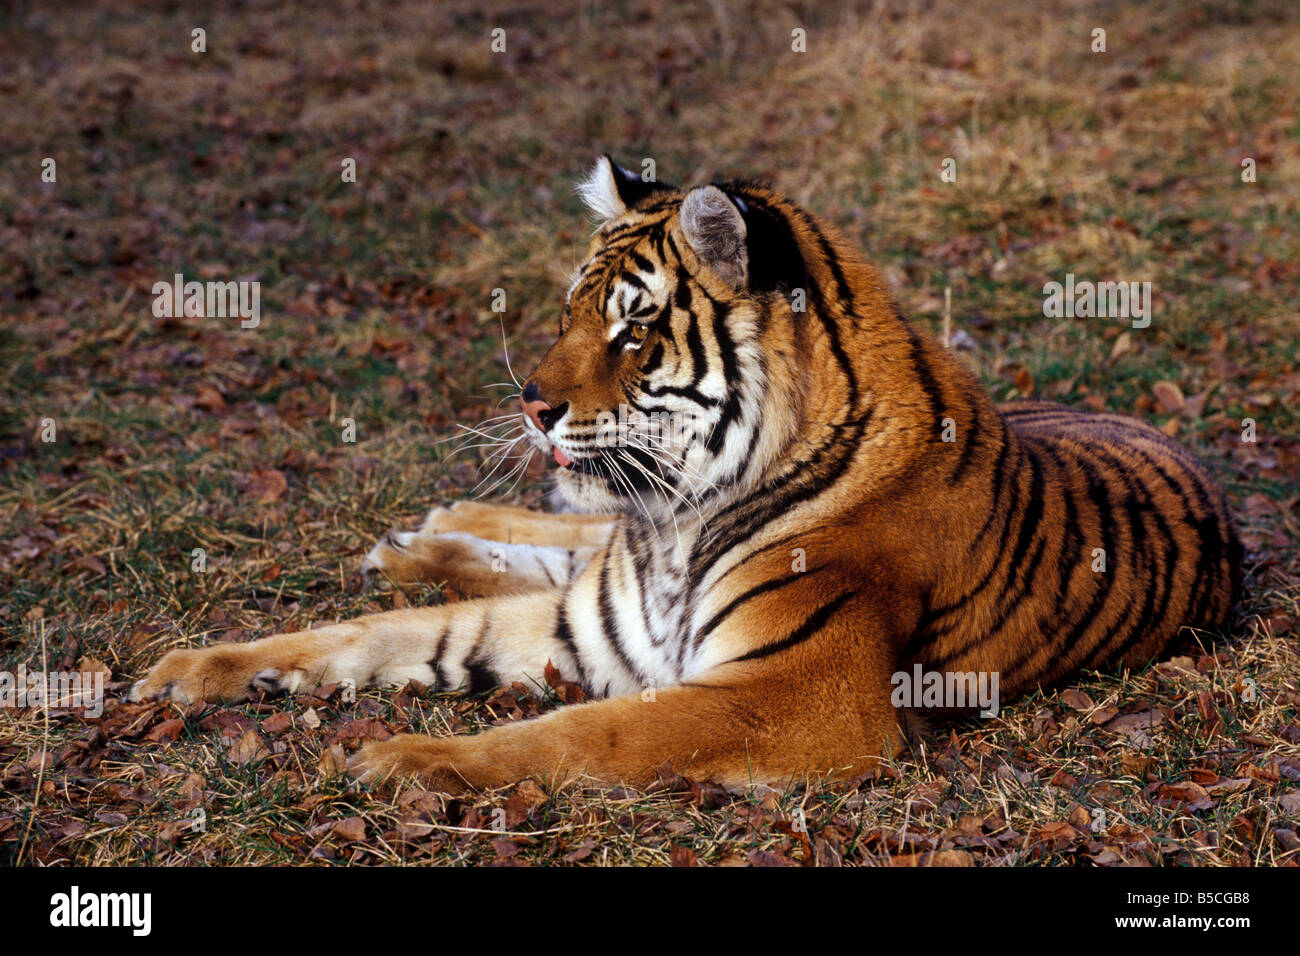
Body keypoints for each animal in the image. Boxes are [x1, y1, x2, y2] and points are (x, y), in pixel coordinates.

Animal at [130, 156, 1242, 793]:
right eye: (571, 312)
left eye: (632, 331)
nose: (529, 402)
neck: (679, 519)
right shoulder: (589, 620)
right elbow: (373, 636)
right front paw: (198, 667)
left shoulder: (798, 693)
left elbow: (586, 732)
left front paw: (403, 760)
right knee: (557, 534)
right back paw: (424, 535)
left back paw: (421, 539)